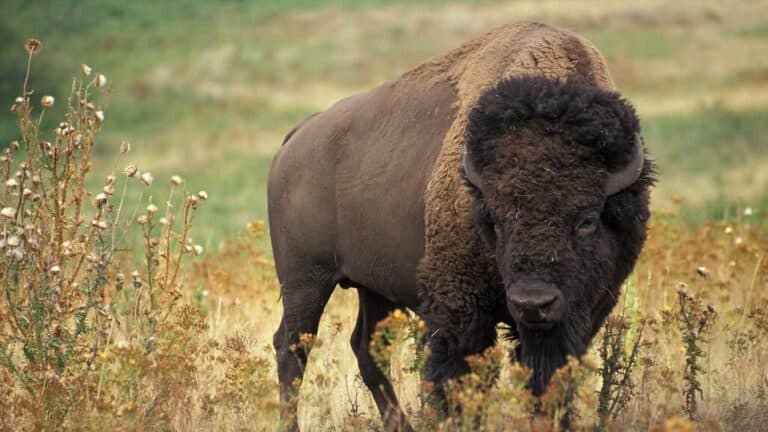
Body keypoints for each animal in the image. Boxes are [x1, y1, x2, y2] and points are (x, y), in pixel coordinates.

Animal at [268, 21, 653, 431]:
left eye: (587, 221)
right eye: (496, 220)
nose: (533, 303)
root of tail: (296, 138)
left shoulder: (584, 311)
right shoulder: (460, 308)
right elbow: (458, 377)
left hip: (373, 287)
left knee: (366, 348)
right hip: (305, 280)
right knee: (292, 347)